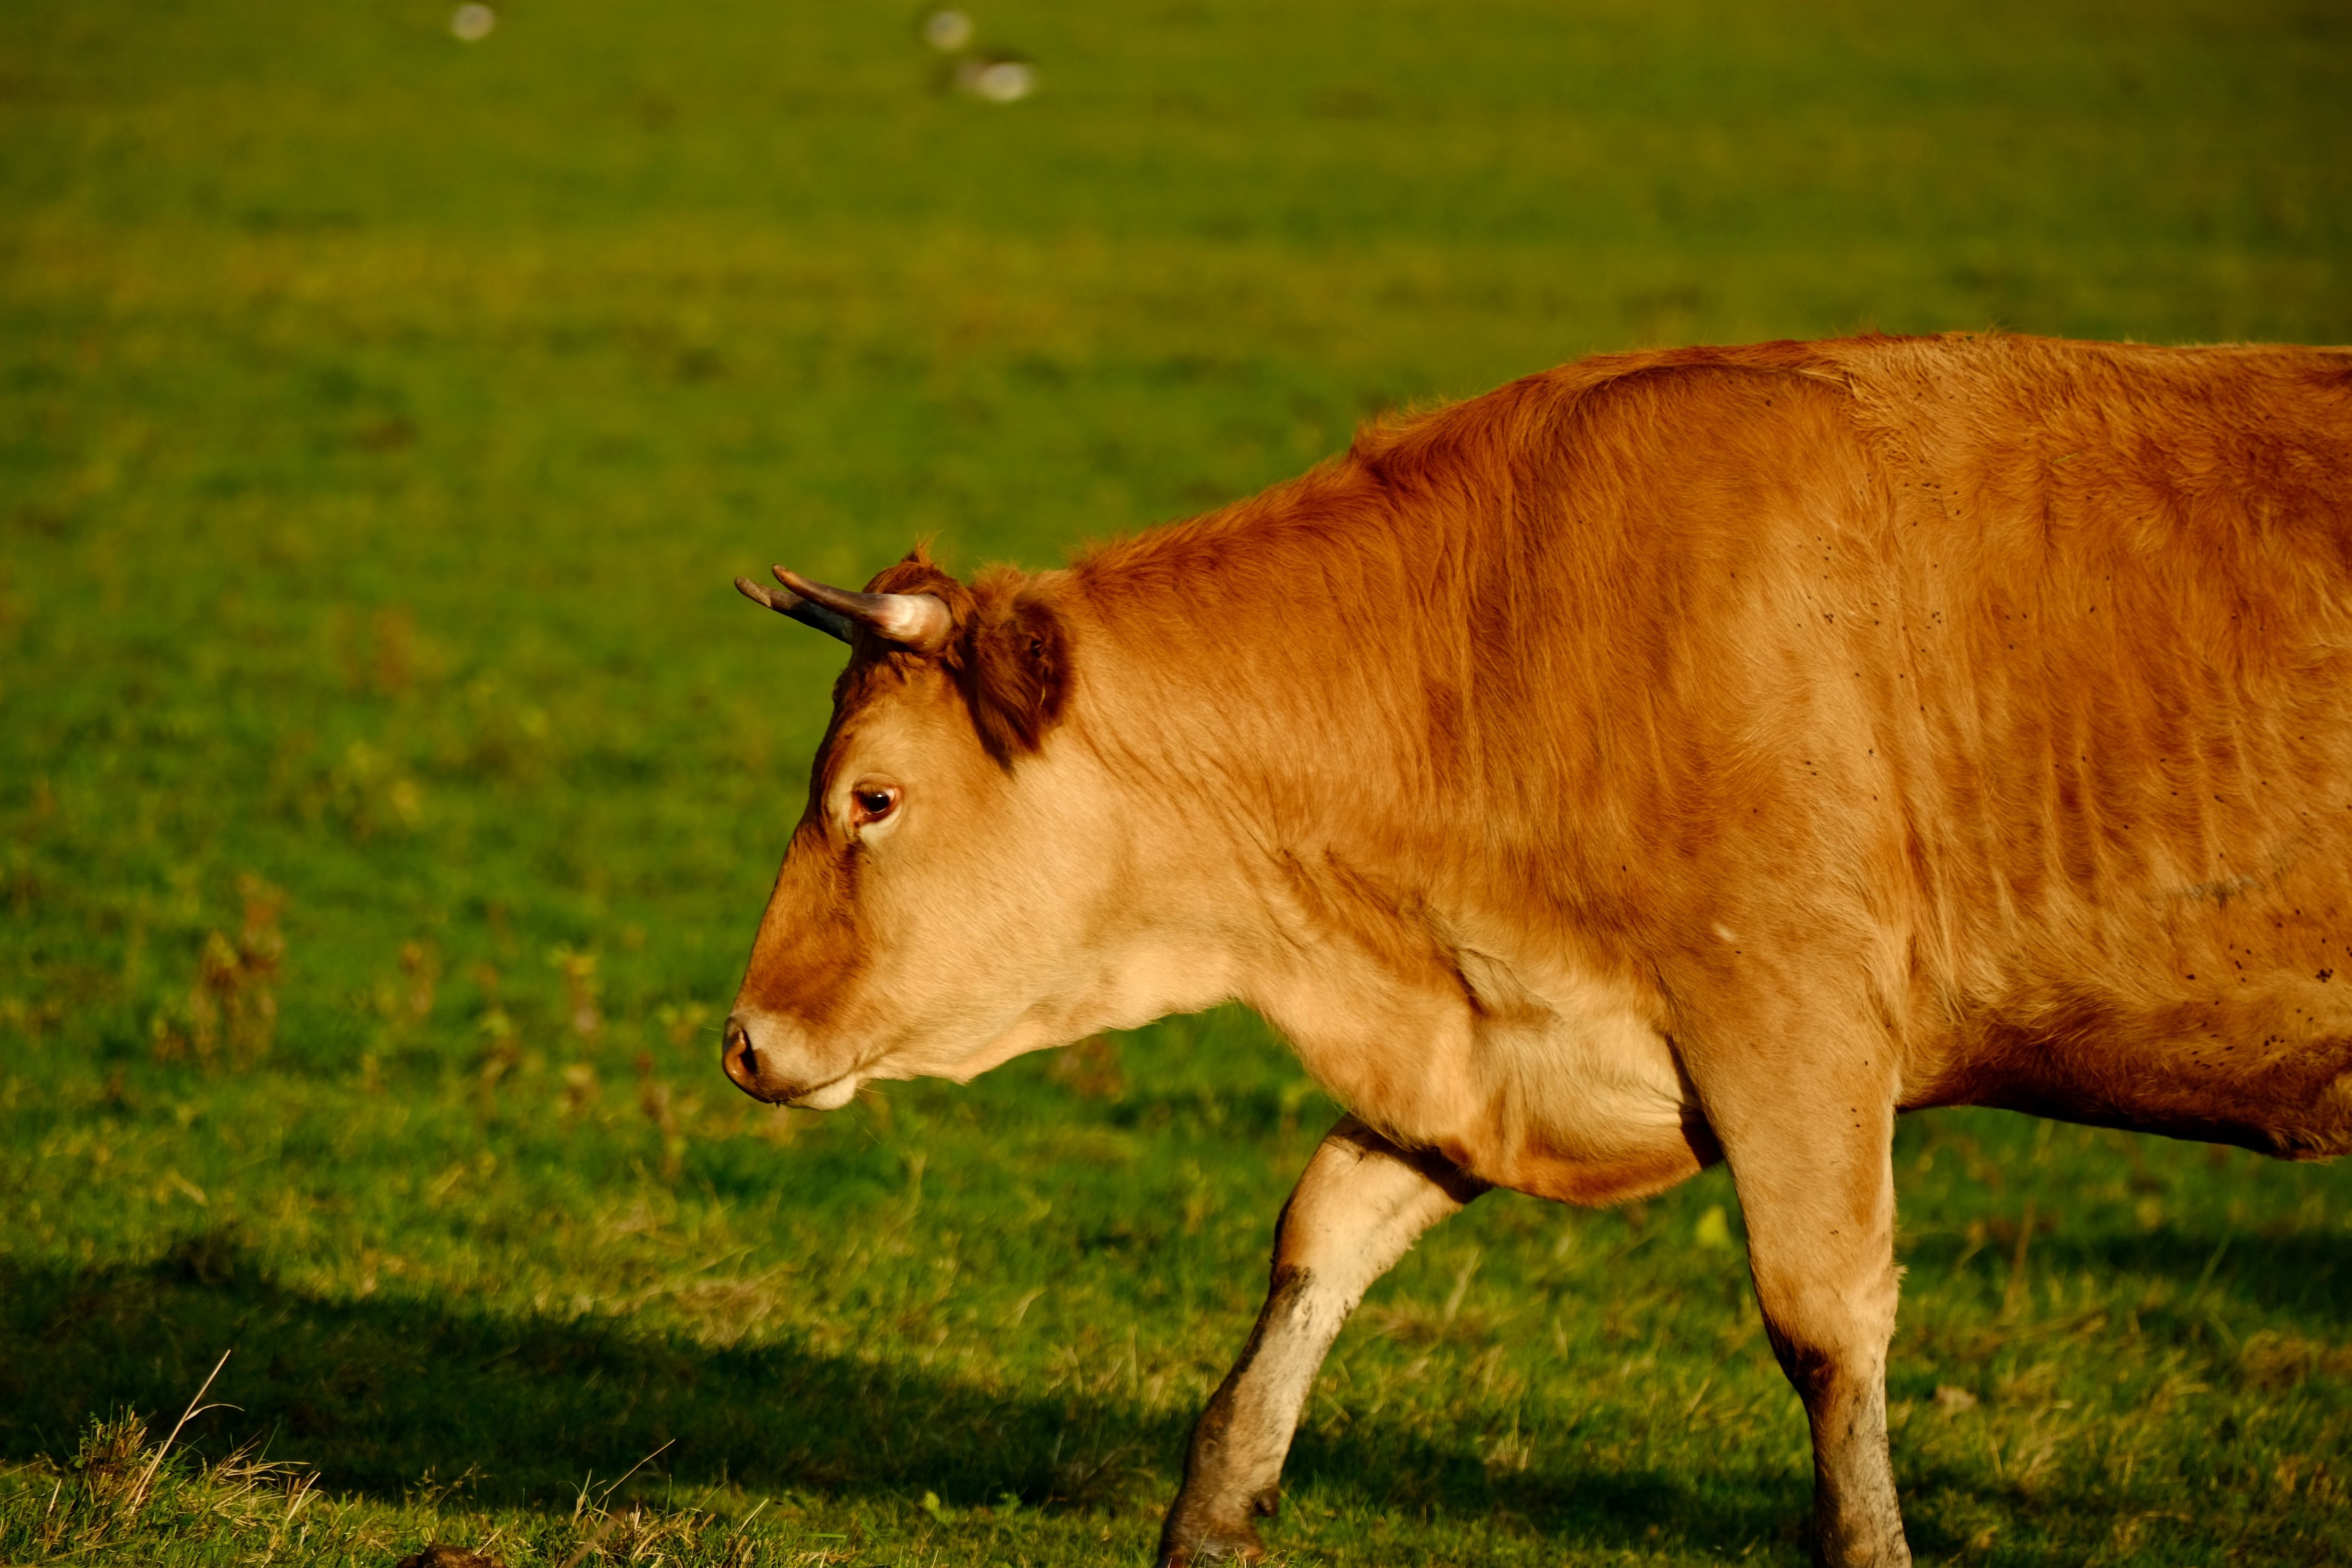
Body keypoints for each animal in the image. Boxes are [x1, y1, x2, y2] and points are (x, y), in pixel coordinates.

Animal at [719, 332, 2352, 1567]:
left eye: (873, 798)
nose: (744, 1040)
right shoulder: (1489, 1051)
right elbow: (1318, 1239)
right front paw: (1214, 1508)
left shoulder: (1795, 1022)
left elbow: (1826, 1320)